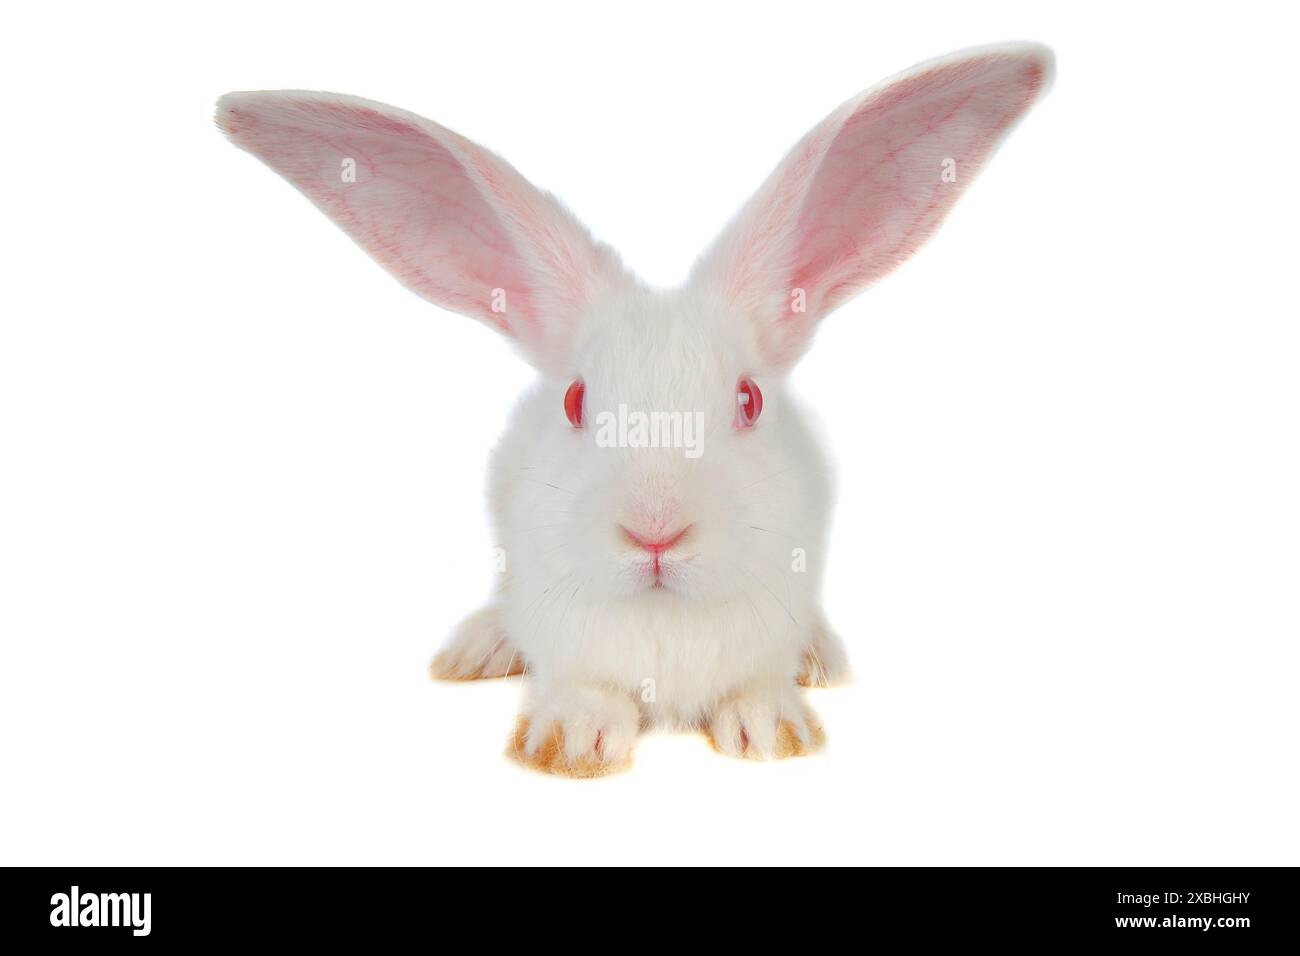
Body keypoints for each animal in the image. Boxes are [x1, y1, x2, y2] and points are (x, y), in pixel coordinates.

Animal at [217, 42, 1053, 776]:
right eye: (575, 398)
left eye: (748, 399)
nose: (656, 528)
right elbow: (586, 690)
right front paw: (569, 743)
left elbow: (755, 686)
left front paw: (771, 730)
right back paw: (479, 648)